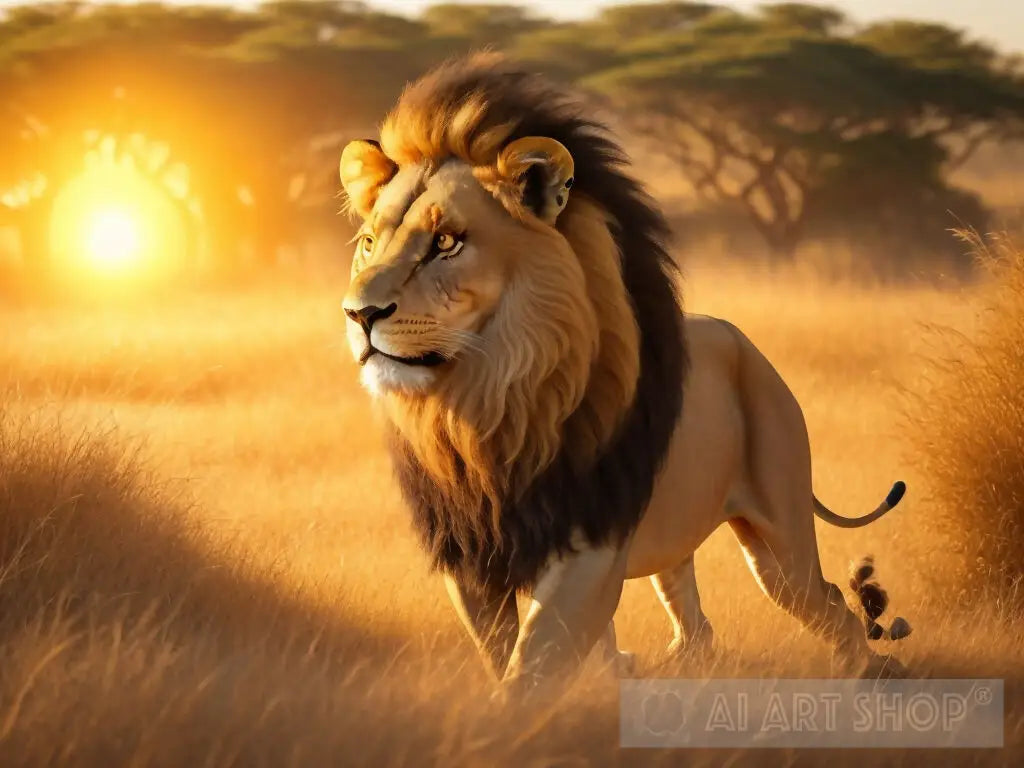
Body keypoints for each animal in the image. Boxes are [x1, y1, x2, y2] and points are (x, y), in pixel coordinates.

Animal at [338, 54, 910, 693]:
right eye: (369, 242)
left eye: (445, 242)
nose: (359, 314)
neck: (482, 407)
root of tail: (746, 344)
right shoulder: (471, 557)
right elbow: (505, 652)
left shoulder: (589, 543)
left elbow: (534, 665)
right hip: (678, 539)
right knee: (695, 626)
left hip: (779, 541)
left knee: (827, 602)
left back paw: (865, 673)